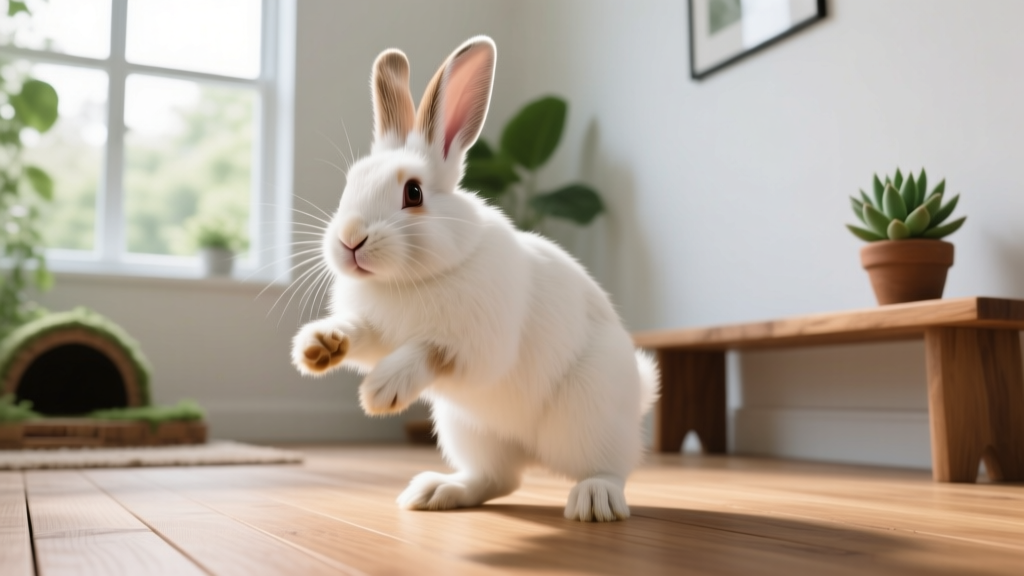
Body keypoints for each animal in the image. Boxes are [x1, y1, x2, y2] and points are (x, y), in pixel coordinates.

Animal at [291, 35, 659, 522]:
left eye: (413, 192)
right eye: (349, 184)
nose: (350, 239)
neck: (410, 279)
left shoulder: (475, 347)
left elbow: (428, 351)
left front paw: (381, 391)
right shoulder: (377, 330)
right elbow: (359, 335)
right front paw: (319, 347)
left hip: (590, 416)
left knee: (611, 468)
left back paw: (594, 500)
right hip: (468, 431)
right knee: (498, 479)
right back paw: (436, 491)